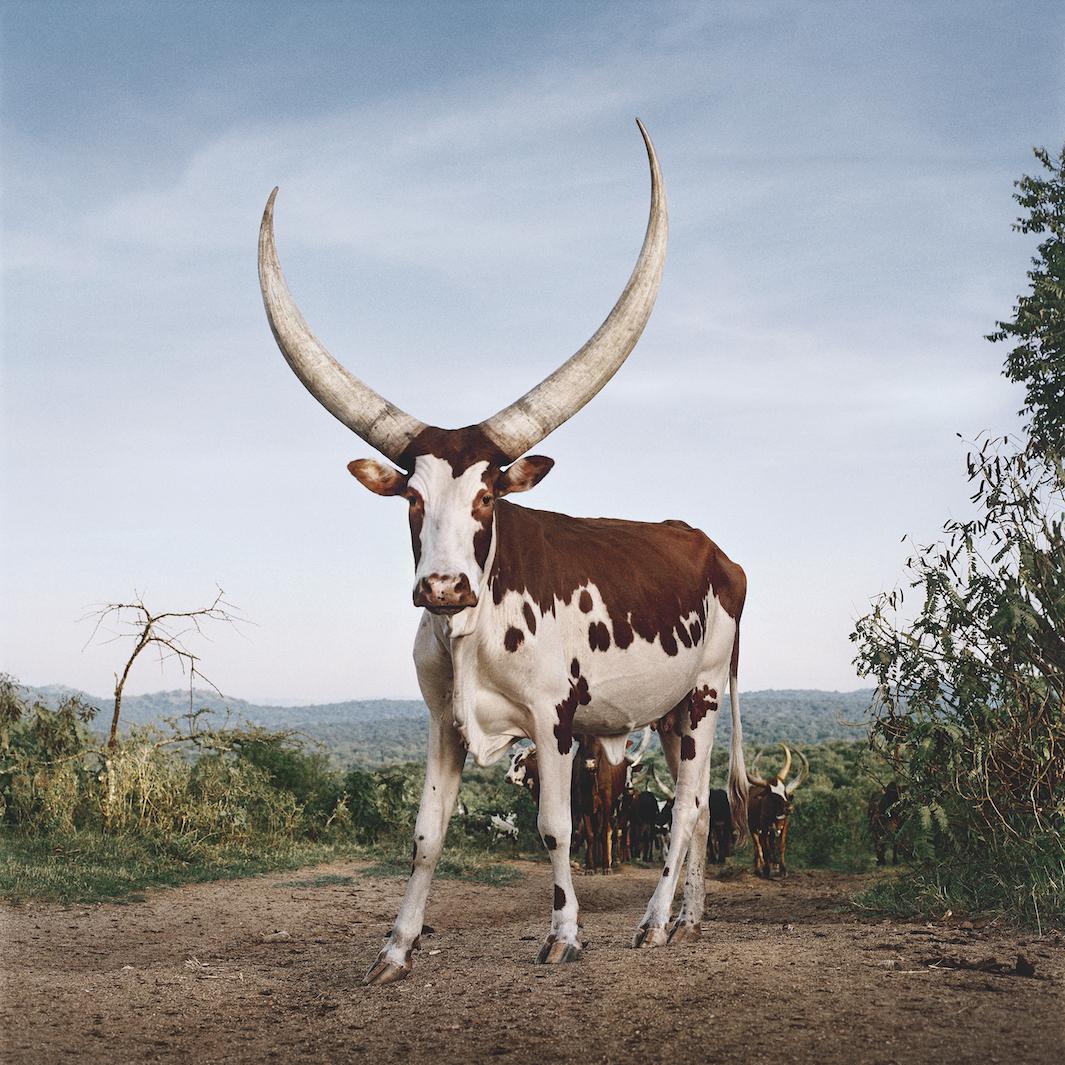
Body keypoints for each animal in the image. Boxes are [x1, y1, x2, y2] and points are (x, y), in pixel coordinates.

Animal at [258, 119, 749, 984]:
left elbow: (556, 825)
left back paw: (655, 921)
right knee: (690, 816)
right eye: (411, 498)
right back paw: (687, 920)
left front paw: (563, 933)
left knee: (690, 804)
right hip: (663, 710)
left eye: (487, 497)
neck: (473, 629)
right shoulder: (439, 721)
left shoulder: (553, 721)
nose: (443, 587)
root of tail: (714, 549)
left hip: (702, 697)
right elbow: (425, 833)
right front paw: (396, 946)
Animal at [747, 744, 808, 879]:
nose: (789, 808)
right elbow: (765, 849)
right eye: (772, 795)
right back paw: (758, 868)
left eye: (785, 791)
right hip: (753, 828)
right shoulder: (764, 828)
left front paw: (783, 869)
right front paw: (766, 869)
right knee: (757, 846)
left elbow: (781, 847)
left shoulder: (784, 827)